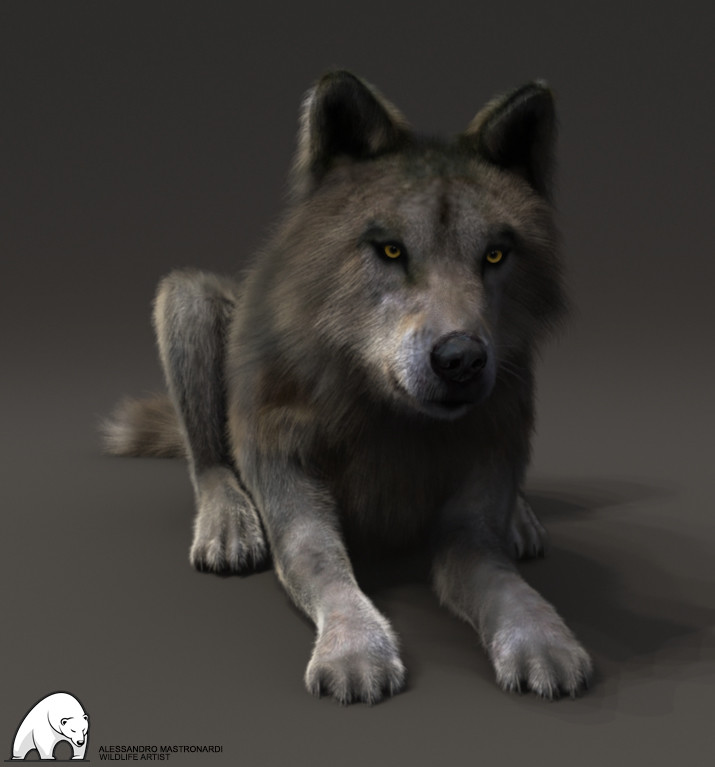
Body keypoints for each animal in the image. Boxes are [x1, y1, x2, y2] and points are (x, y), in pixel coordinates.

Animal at [104, 71, 593, 704]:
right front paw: (355, 650)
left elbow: (505, 583)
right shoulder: (287, 479)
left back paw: (522, 518)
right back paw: (228, 524)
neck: (389, 420)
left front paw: (543, 642)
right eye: (390, 249)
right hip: (187, 297)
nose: (460, 358)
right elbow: (324, 563)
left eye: (494, 254)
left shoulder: (471, 517)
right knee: (208, 460)